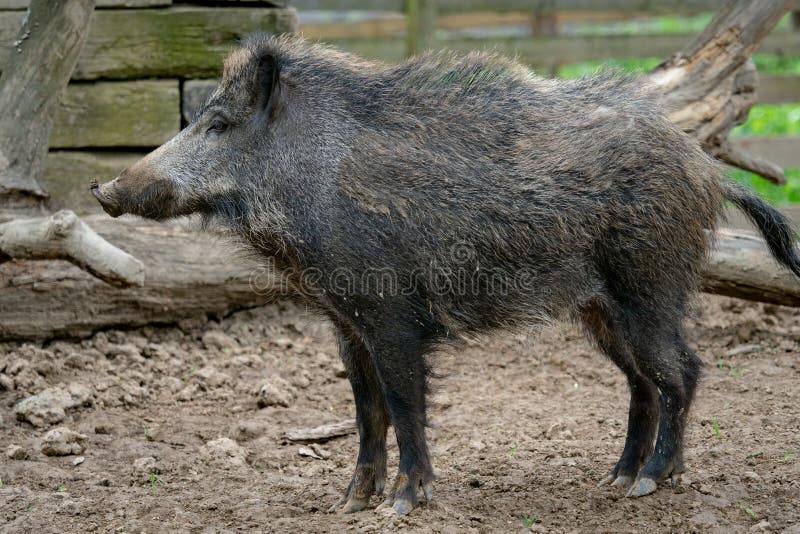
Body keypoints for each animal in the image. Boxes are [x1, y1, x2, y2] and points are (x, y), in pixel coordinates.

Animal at [91, 34, 800, 515]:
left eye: (217, 124)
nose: (104, 189)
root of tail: (707, 168)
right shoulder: (346, 325)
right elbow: (366, 412)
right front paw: (350, 503)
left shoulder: (392, 317)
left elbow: (405, 404)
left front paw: (405, 504)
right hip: (599, 309)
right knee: (642, 384)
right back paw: (614, 480)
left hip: (650, 285)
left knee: (683, 370)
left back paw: (654, 483)